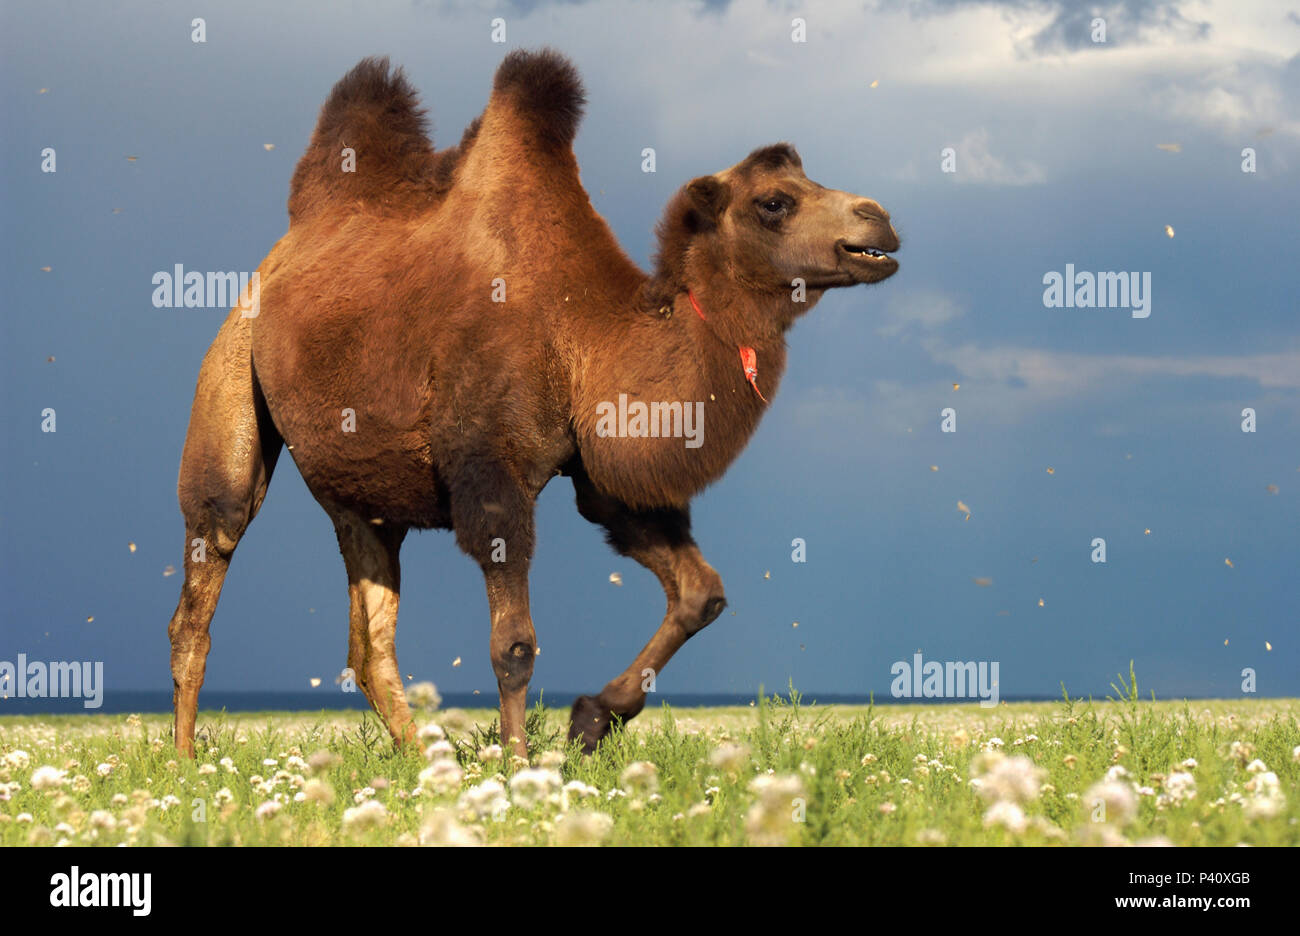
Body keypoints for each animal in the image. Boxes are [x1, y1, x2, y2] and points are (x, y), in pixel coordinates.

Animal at [168, 50, 900, 758]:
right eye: (775, 201)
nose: (881, 219)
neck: (579, 328)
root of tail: (281, 254)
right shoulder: (492, 472)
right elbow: (514, 644)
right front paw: (521, 765)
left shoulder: (601, 470)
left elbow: (701, 594)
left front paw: (592, 720)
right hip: (231, 369)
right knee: (208, 563)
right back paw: (185, 760)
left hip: (366, 496)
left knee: (369, 637)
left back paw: (421, 760)